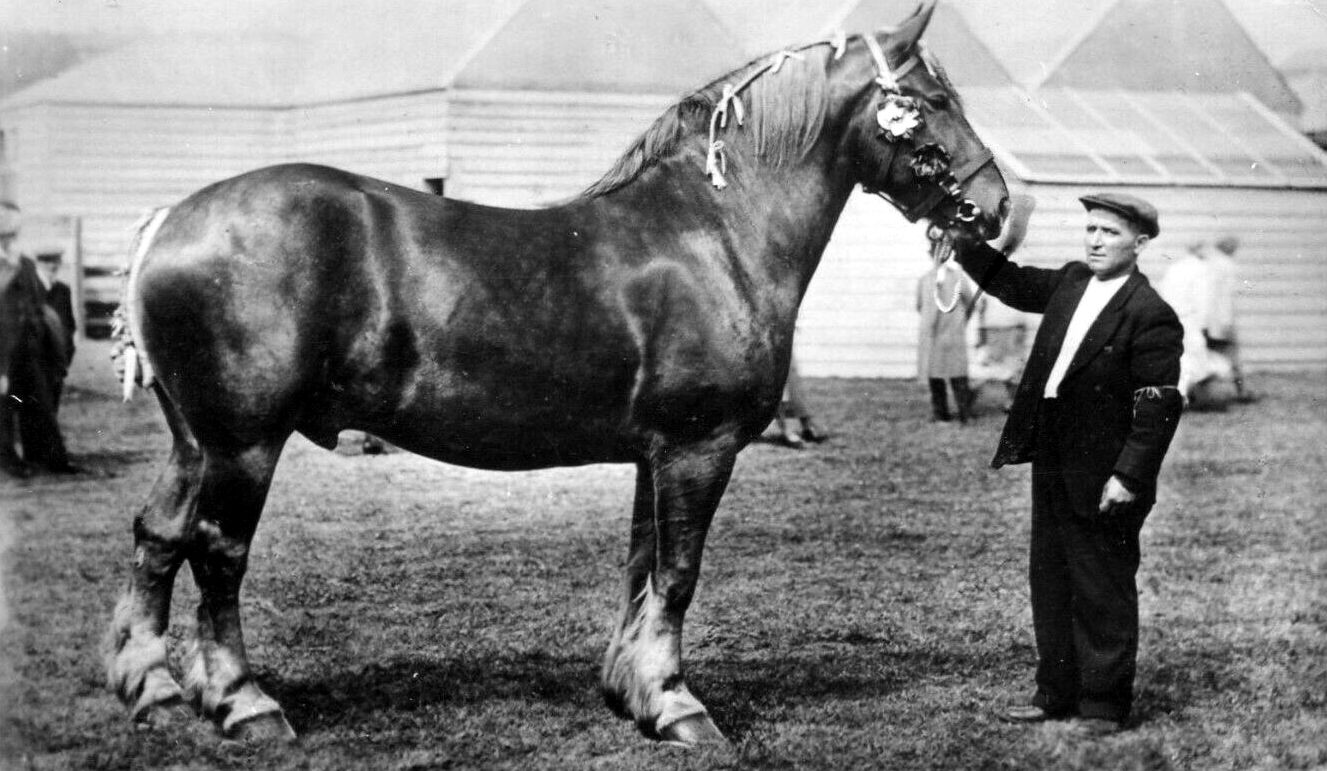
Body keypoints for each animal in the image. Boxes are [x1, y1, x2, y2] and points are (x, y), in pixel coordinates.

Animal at [103, 1, 1008, 747]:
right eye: (930, 100)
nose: (995, 205)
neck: (712, 234)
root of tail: (170, 220)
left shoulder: (656, 453)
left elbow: (642, 566)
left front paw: (632, 691)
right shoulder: (697, 449)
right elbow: (678, 572)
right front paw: (676, 704)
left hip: (196, 441)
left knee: (158, 534)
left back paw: (152, 687)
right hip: (245, 443)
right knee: (218, 552)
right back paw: (243, 702)